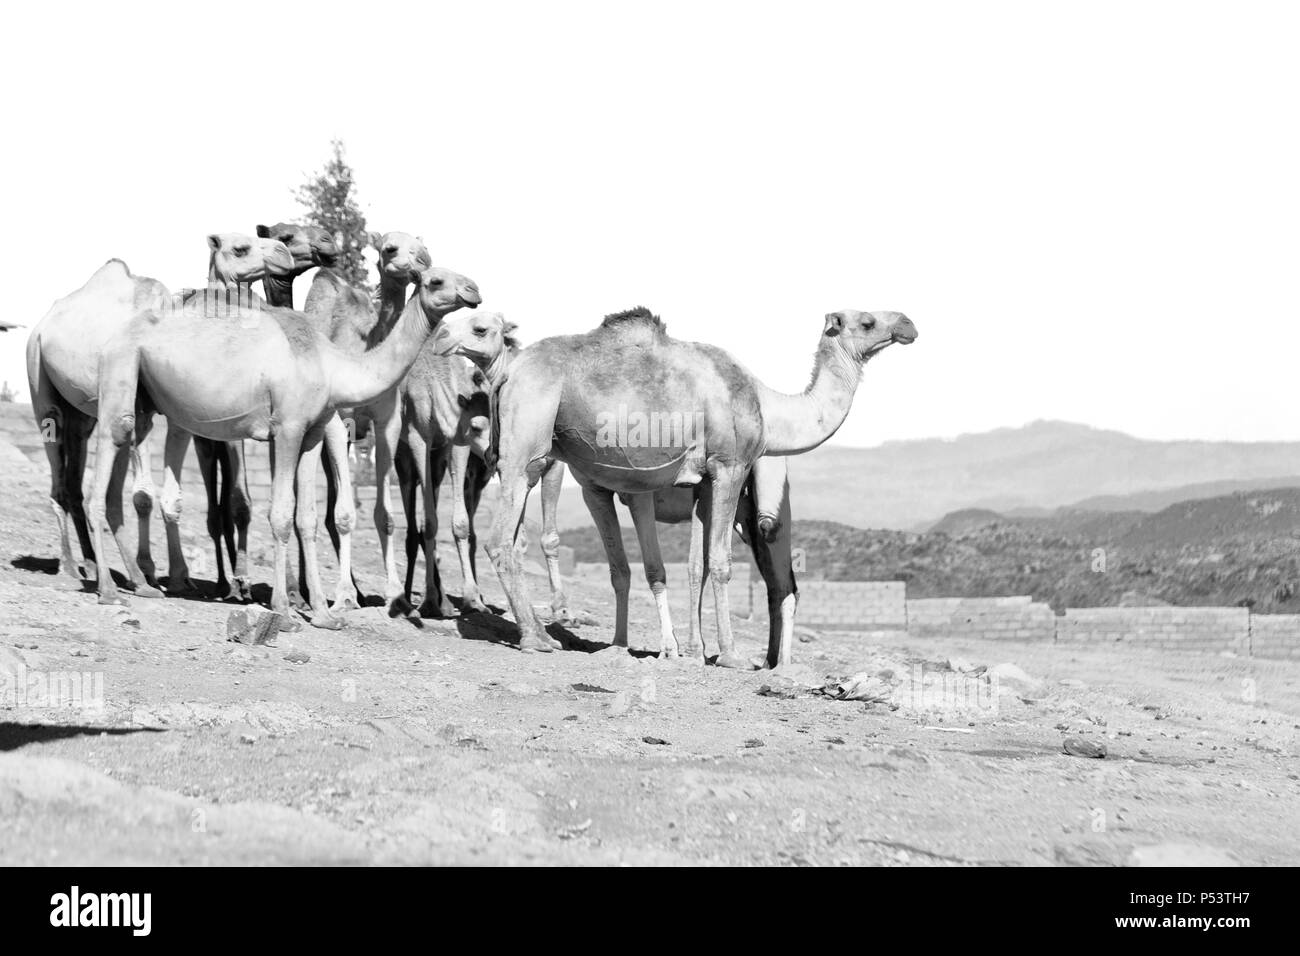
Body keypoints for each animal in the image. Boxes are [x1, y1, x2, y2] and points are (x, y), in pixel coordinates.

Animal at [26, 235, 293, 594]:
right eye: (240, 248)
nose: (284, 252)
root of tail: (42, 324)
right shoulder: (149, 415)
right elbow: (143, 496)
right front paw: (160, 572)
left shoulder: (177, 419)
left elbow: (168, 497)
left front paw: (175, 576)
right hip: (38, 377)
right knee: (55, 457)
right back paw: (69, 565)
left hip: (82, 414)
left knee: (74, 477)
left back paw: (93, 564)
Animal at [84, 265, 481, 628]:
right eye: (435, 280)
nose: (473, 290)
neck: (332, 364)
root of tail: (117, 334)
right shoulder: (287, 428)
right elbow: (280, 515)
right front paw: (285, 609)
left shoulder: (312, 432)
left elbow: (306, 518)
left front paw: (322, 613)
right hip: (122, 367)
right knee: (111, 444)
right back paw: (108, 589)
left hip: (144, 396)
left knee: (125, 449)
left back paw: (142, 583)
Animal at [486, 307, 916, 664]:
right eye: (867, 322)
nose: (908, 324)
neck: (767, 407)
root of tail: (507, 372)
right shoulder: (729, 465)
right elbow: (719, 564)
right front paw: (727, 655)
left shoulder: (681, 482)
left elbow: (679, 566)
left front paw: (665, 649)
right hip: (528, 434)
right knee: (501, 535)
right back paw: (535, 638)